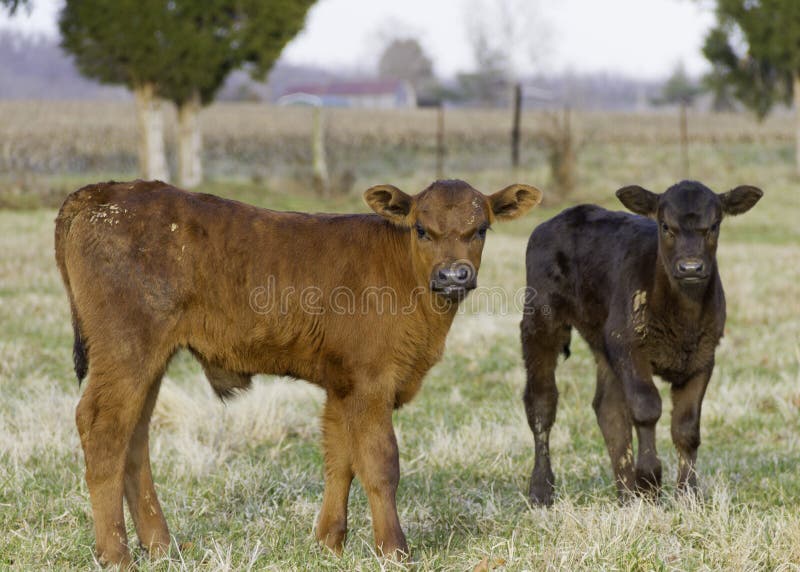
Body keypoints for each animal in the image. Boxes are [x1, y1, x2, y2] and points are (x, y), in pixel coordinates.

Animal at [54, 178, 542, 567]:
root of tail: (102, 191)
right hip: (126, 350)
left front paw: (329, 541)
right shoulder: (370, 383)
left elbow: (341, 459)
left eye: (481, 229)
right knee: (103, 429)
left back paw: (161, 547)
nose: (453, 275)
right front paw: (394, 549)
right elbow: (379, 463)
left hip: (148, 359)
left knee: (134, 437)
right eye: (421, 228)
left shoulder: (343, 384)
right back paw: (116, 554)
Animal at [520, 180, 762, 505]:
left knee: (608, 409)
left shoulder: (703, 356)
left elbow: (686, 427)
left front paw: (688, 494)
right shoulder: (630, 346)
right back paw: (542, 490)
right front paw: (649, 481)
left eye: (714, 225)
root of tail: (563, 215)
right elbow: (647, 408)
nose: (691, 267)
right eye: (665, 226)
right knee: (542, 403)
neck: (682, 318)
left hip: (604, 339)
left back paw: (626, 495)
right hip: (541, 321)